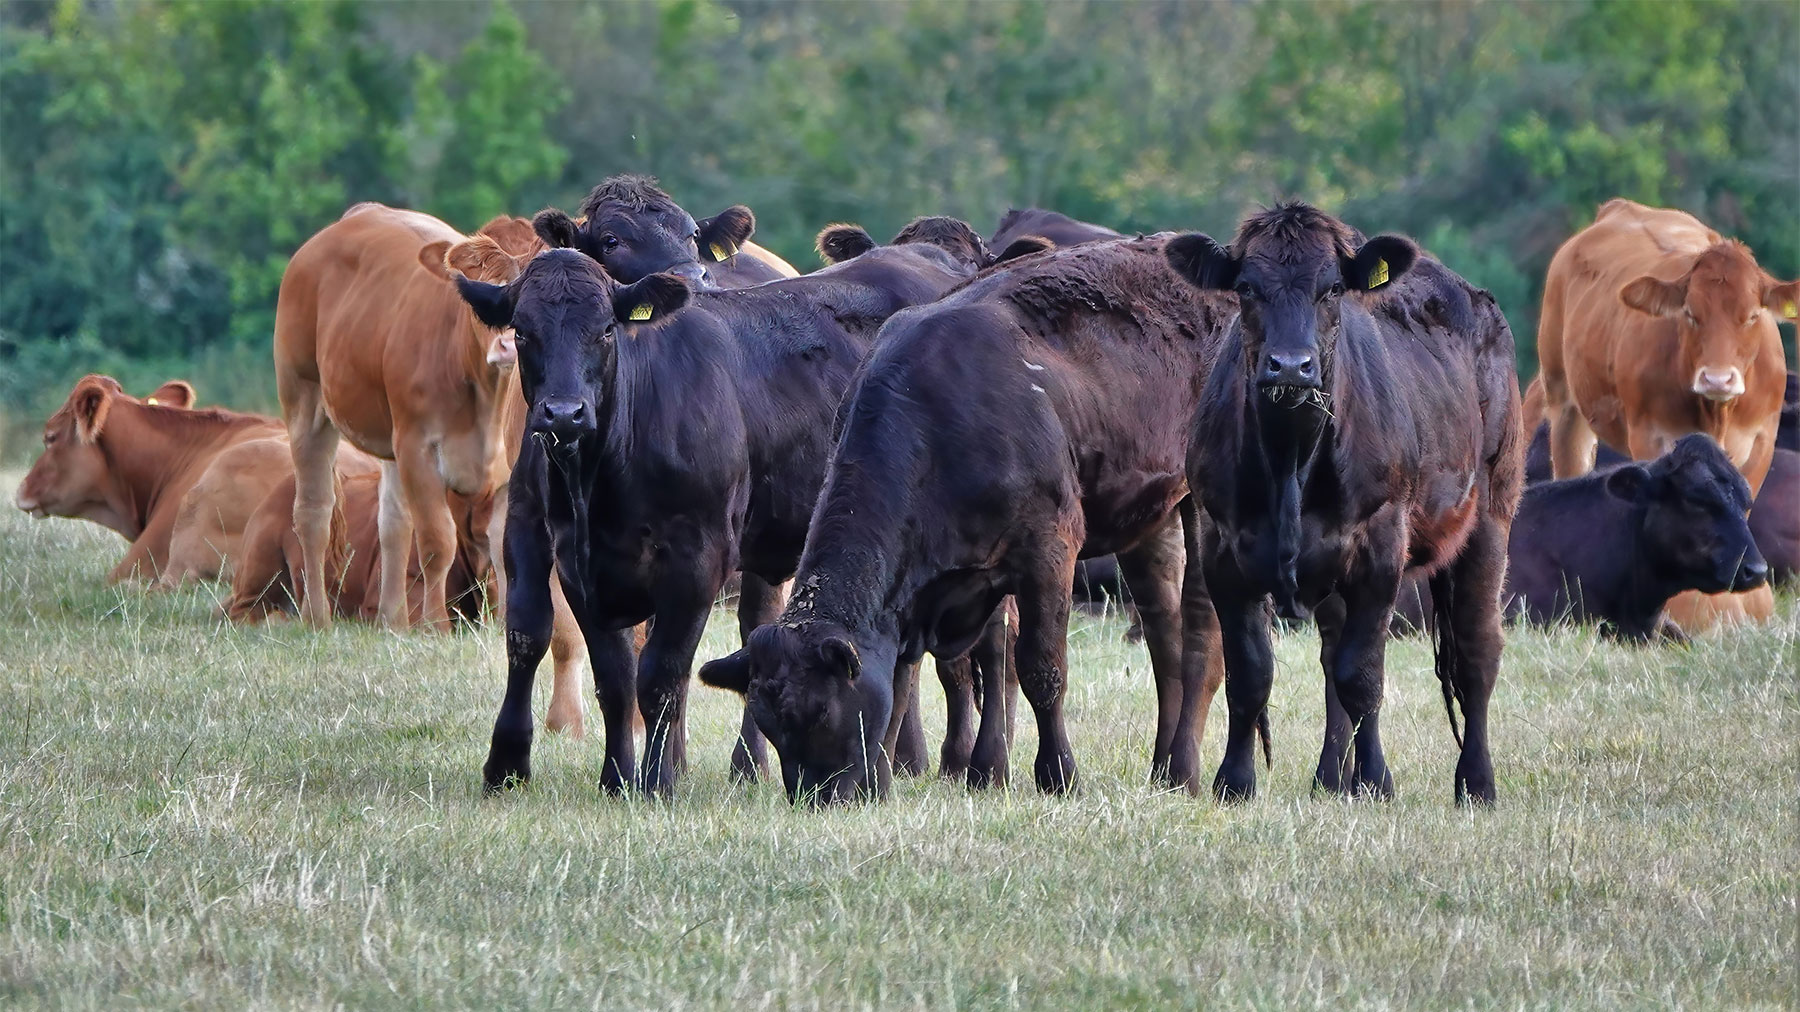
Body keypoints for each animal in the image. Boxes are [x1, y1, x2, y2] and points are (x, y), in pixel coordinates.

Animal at [458, 217, 1012, 796]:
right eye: (523, 331)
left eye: (606, 329)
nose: (564, 413)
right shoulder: (574, 562)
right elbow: (612, 678)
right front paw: (614, 778)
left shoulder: (696, 559)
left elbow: (661, 675)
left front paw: (657, 782)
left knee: (991, 644)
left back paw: (981, 765)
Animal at [697, 235, 1241, 803]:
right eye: (769, 724)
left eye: (820, 711)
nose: (819, 797)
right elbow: (907, 676)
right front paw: (893, 772)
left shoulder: (1049, 546)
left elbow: (1040, 666)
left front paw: (1058, 775)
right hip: (1147, 517)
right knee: (1163, 635)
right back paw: (1165, 768)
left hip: (1203, 503)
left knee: (1201, 632)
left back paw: (1184, 767)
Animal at [1165, 203, 1524, 806]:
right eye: (1246, 287)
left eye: (1331, 288)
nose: (1291, 367)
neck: (1290, 457)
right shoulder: (1221, 548)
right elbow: (1251, 674)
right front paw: (1234, 782)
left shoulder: (1380, 546)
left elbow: (1364, 675)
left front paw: (1377, 780)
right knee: (1332, 650)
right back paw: (1332, 778)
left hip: (1493, 512)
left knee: (1476, 650)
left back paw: (1476, 783)